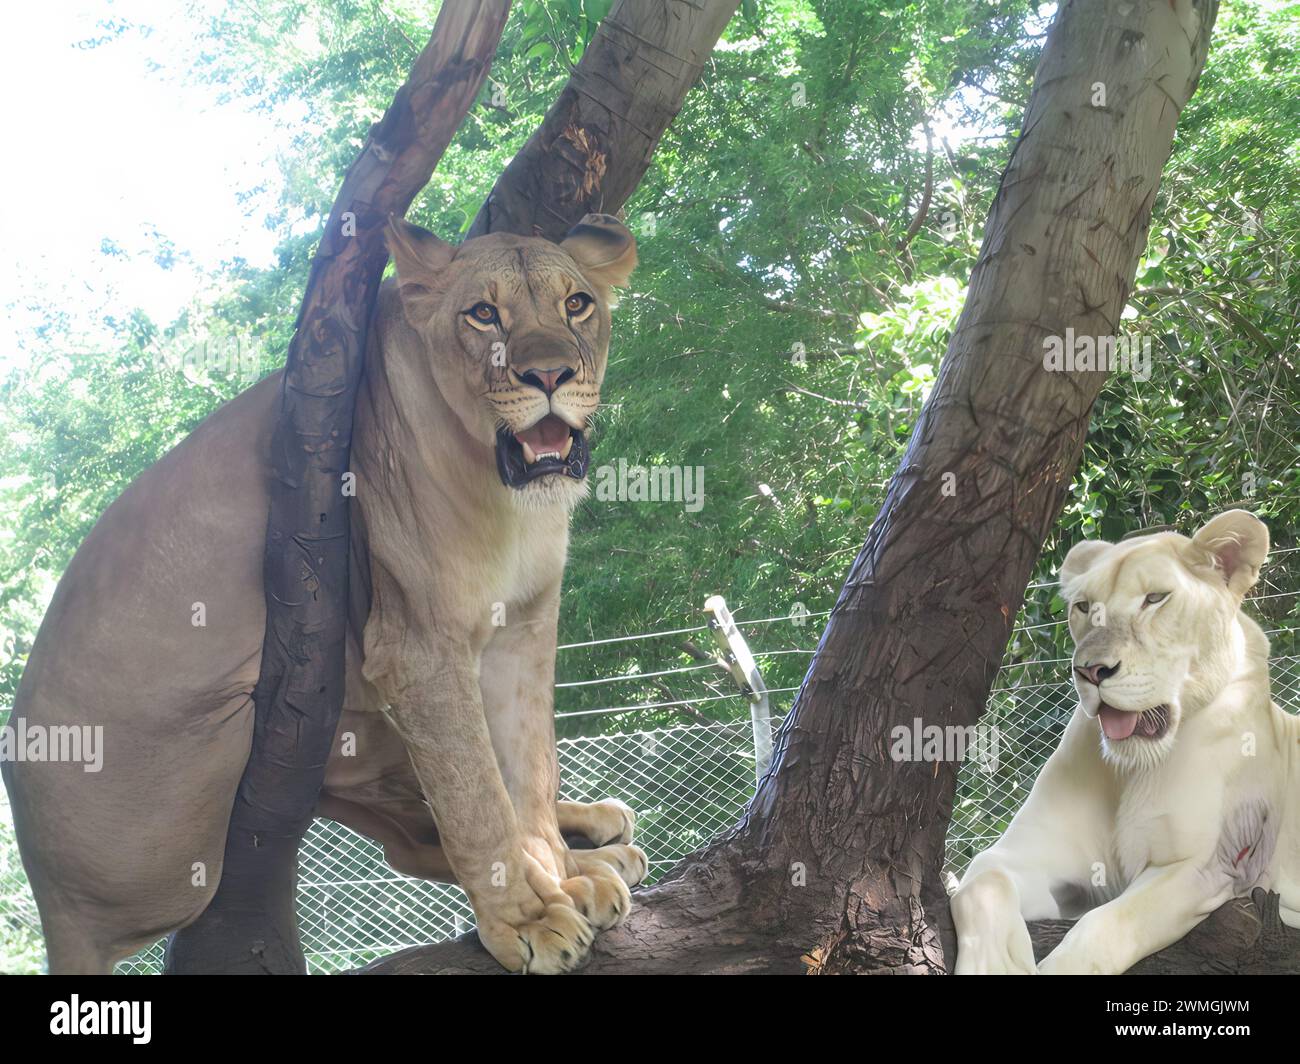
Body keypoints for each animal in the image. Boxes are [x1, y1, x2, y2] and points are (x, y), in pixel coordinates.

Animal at [2, 213, 647, 974]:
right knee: (416, 831)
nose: (549, 375)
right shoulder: (416, 647)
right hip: (239, 732)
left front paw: (562, 877)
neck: (508, 491)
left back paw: (595, 843)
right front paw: (530, 918)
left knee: (410, 836)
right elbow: (477, 797)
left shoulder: (524, 625)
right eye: (483, 314)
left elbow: (528, 770)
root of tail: (57, 909)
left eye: (577, 304)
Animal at [951, 510, 1300, 974]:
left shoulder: (1205, 866)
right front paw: (997, 963)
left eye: (1155, 599)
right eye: (1083, 607)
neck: (1128, 769)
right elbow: (983, 870)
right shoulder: (1046, 858)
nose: (1090, 670)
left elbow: (1104, 927)